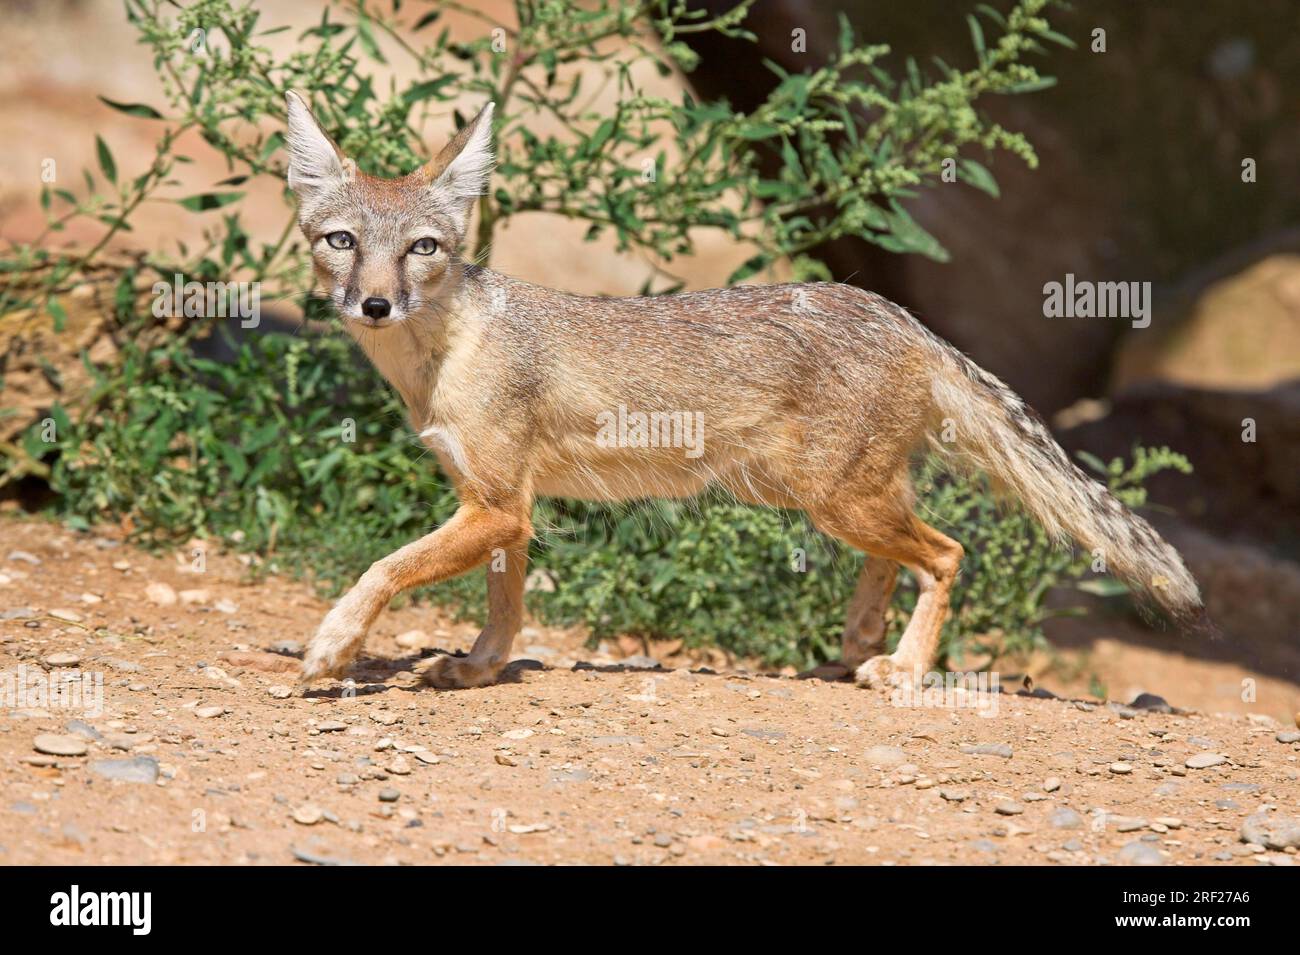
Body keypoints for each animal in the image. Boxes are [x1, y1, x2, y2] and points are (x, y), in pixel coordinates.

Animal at [285, 91, 1202, 691]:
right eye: (342, 241)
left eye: (423, 249)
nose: (374, 304)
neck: (441, 354)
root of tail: (901, 316)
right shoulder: (502, 507)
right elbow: (503, 605)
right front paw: (479, 666)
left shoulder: (499, 507)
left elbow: (384, 567)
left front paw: (333, 646)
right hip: (821, 495)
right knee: (902, 552)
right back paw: (857, 639)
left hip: (835, 499)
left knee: (945, 553)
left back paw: (903, 667)